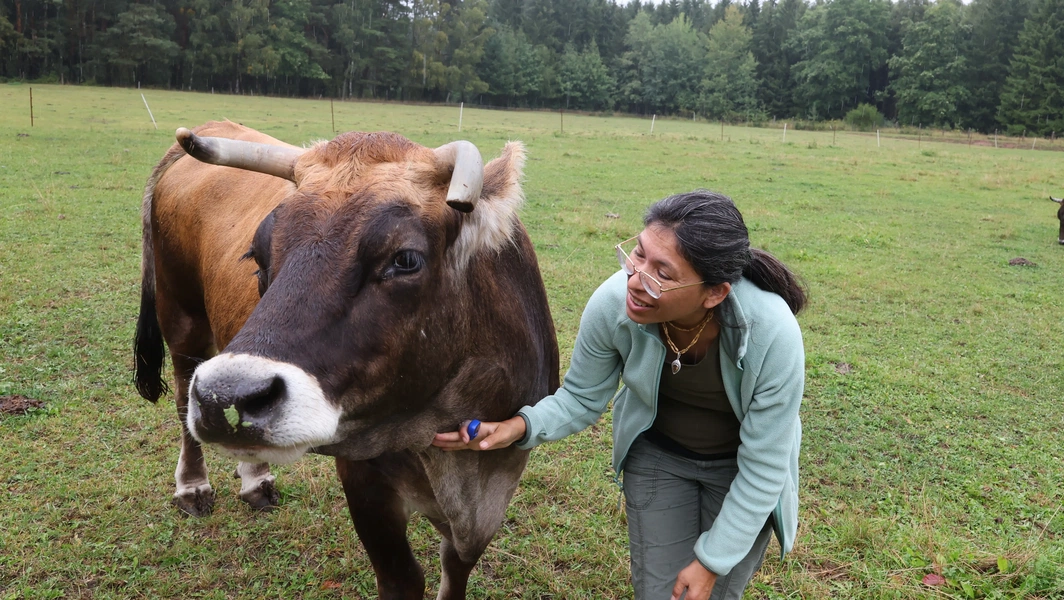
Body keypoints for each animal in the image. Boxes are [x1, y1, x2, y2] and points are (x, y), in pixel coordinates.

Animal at [133, 120, 560, 599]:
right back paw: (192, 486)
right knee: (181, 397)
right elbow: (403, 578)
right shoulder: (364, 477)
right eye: (257, 256)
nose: (224, 396)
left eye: (405, 258)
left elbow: (456, 571)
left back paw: (255, 480)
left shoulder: (498, 482)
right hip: (181, 320)